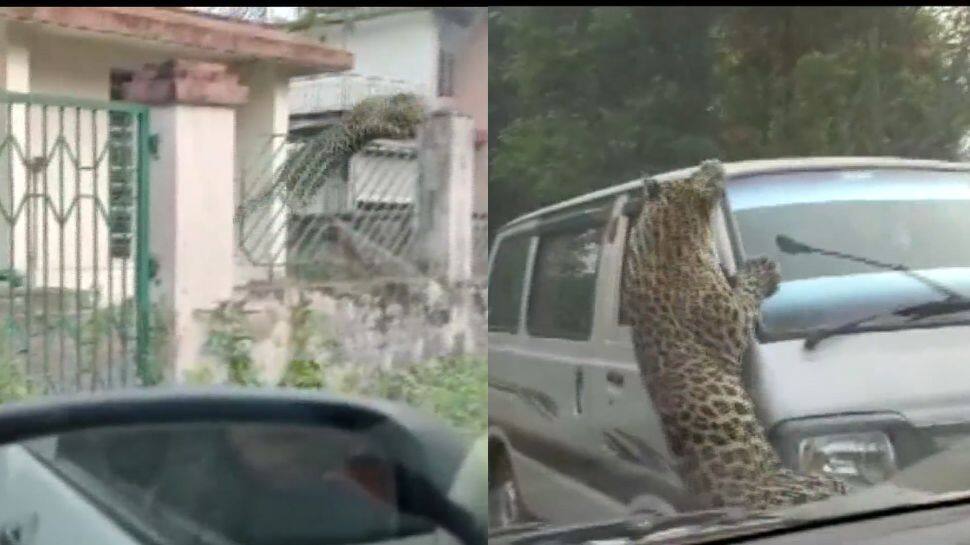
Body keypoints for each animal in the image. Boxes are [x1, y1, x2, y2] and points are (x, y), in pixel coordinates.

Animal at [621, 159, 847, 511]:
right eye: (693, 173)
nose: (710, 162)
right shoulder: (729, 321)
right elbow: (746, 295)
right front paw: (761, 270)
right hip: (795, 488)